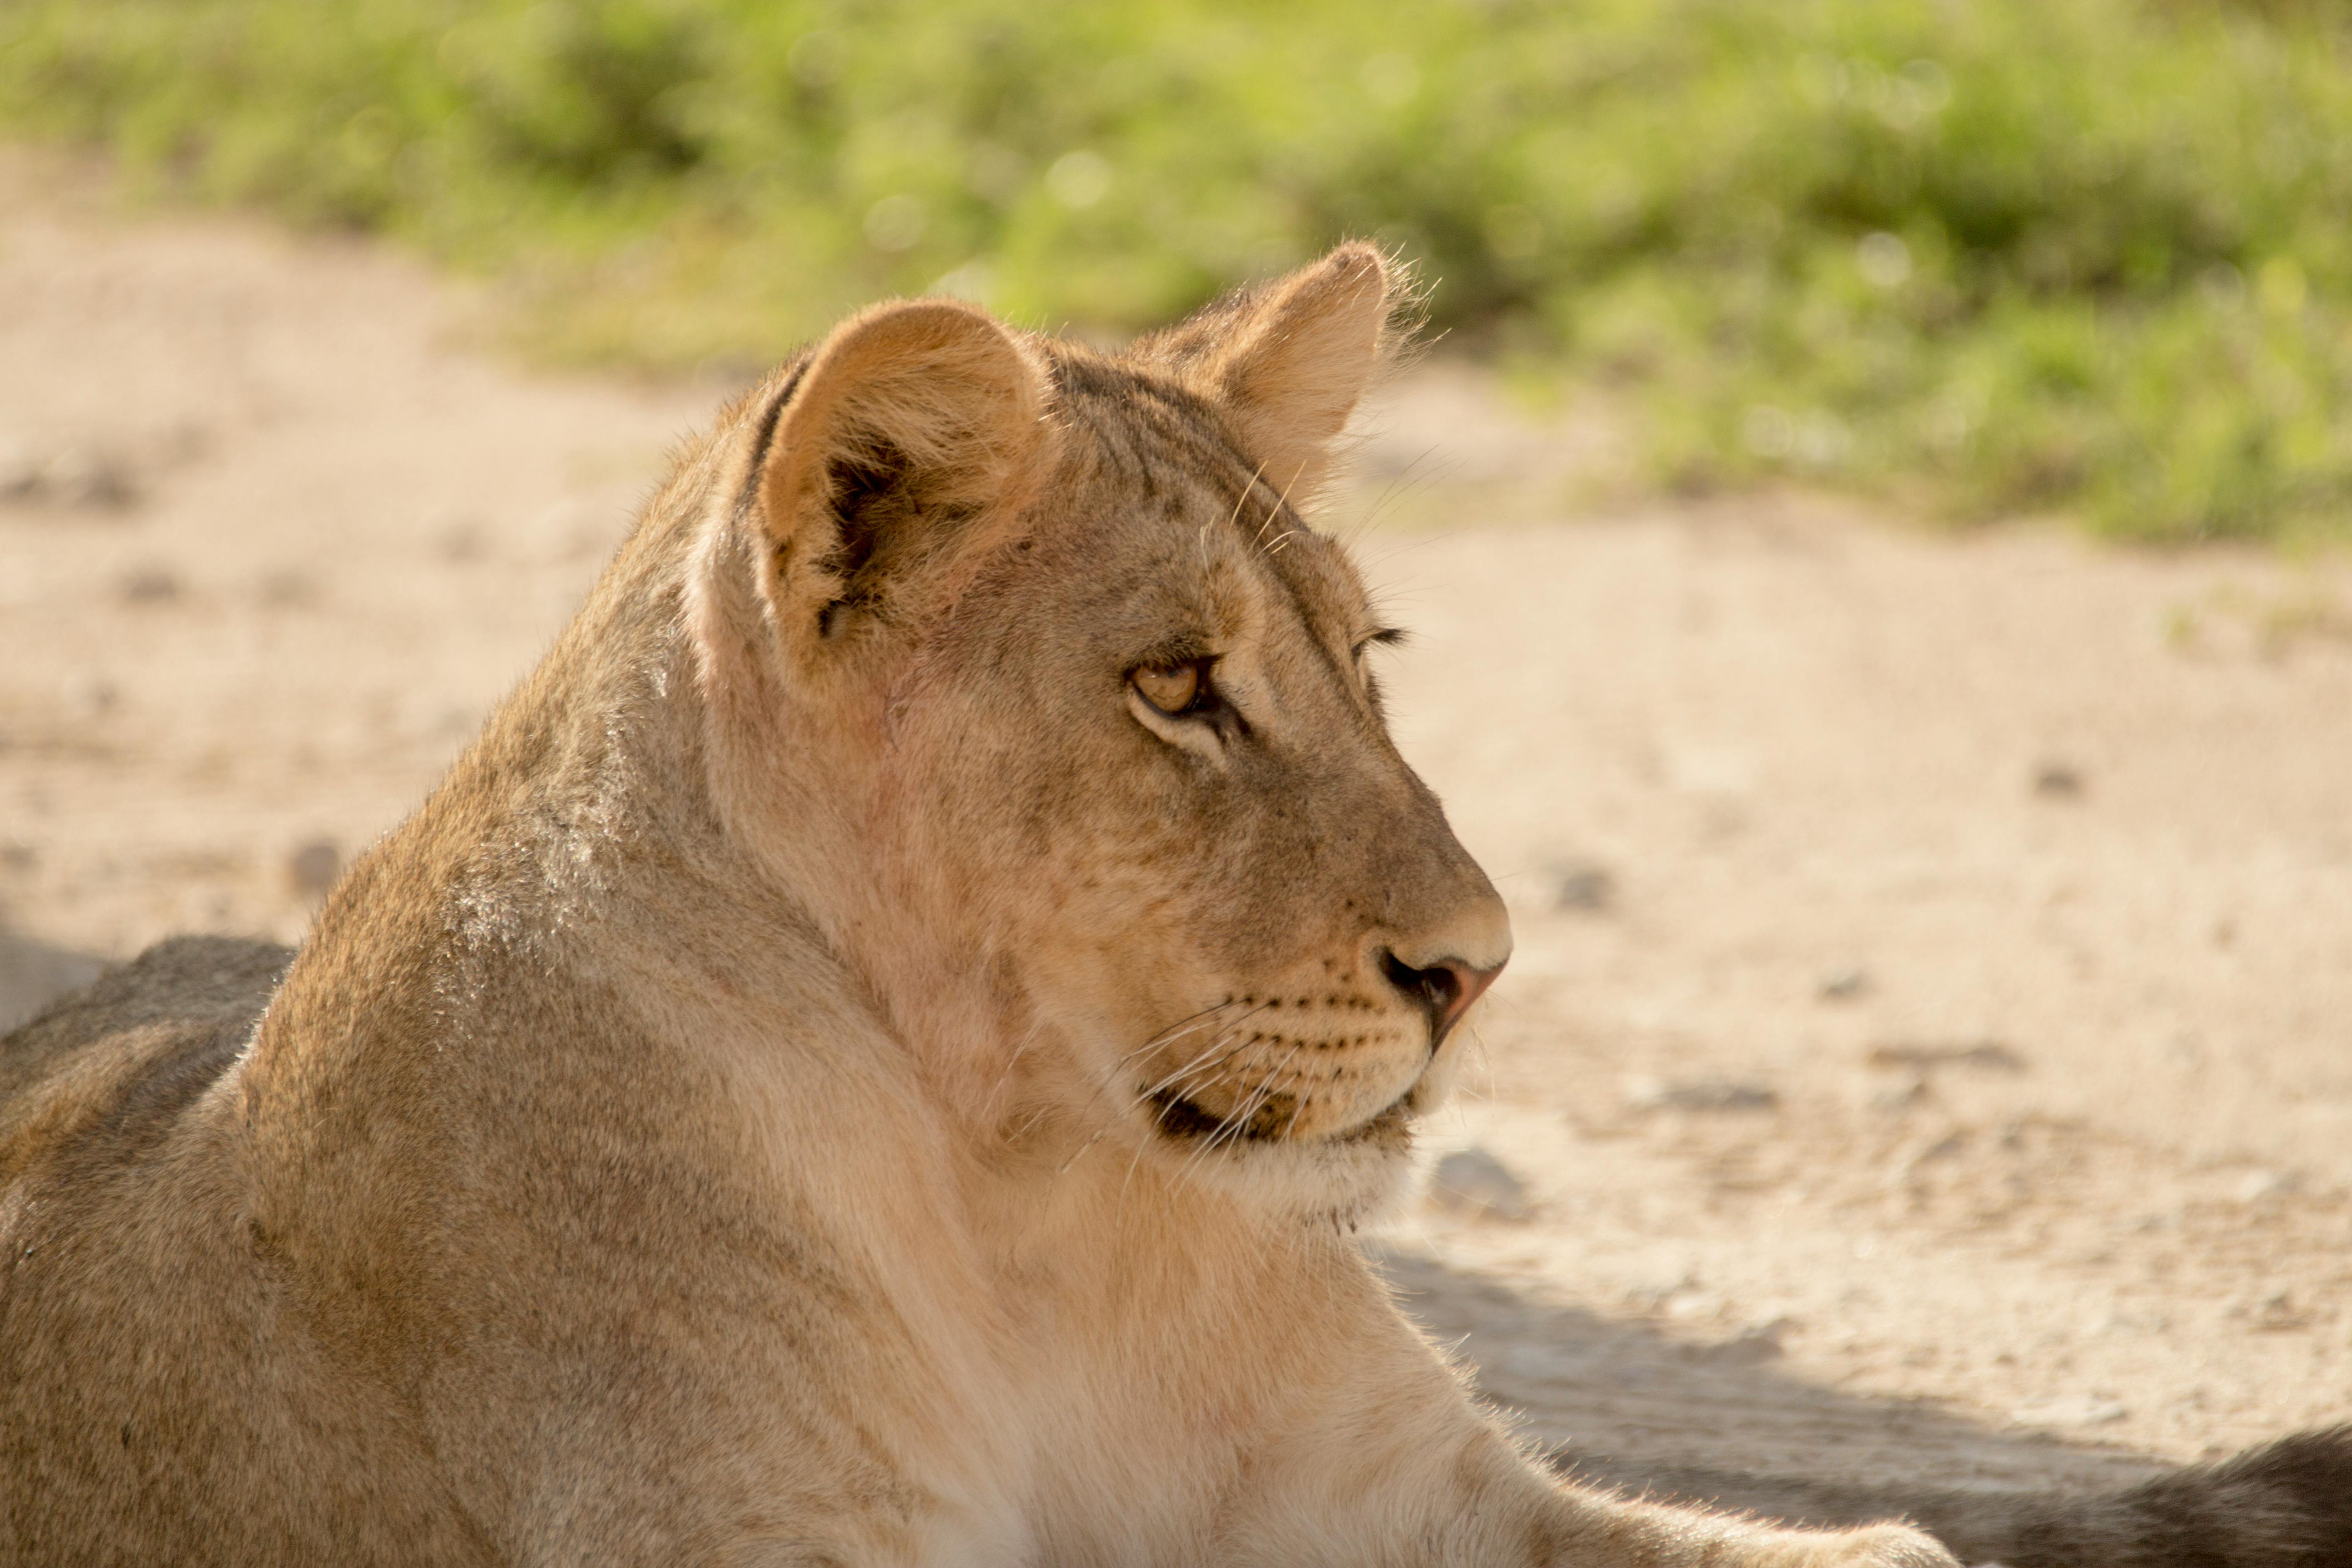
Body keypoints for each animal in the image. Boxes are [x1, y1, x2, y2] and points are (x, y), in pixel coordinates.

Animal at [3, 245, 2345, 1567]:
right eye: (1176, 690)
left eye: (1361, 653)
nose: (1479, 969)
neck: (1026, 1201)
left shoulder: (1434, 1499)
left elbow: (1877, 1555)